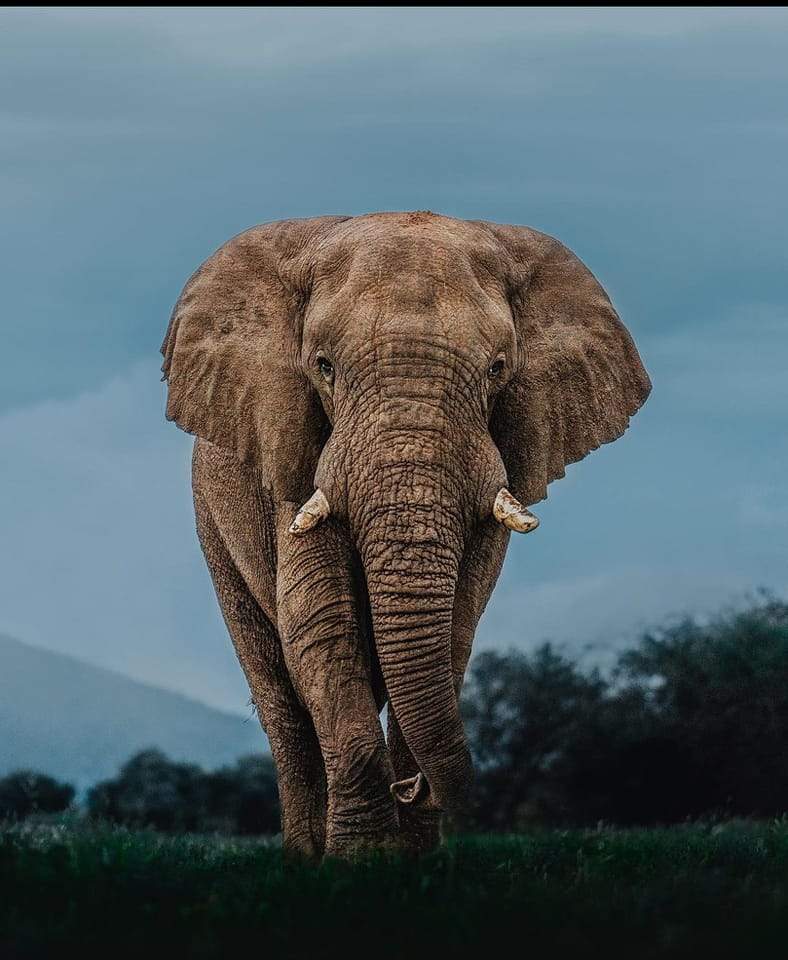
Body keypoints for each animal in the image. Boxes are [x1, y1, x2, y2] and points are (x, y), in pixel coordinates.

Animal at [160, 211, 650, 857]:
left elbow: (458, 620)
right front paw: (359, 860)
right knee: (279, 695)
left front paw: (409, 859)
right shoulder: (291, 449)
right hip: (213, 524)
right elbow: (321, 621)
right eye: (324, 367)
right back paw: (304, 856)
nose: (412, 788)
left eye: (497, 369)